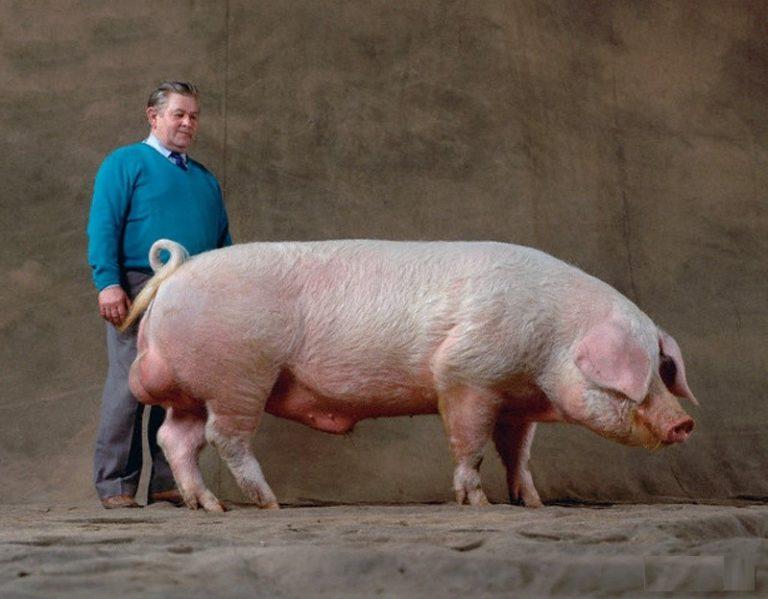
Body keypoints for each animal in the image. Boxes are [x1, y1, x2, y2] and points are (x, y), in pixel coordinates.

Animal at [122, 239, 697, 512]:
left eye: (667, 370)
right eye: (643, 374)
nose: (684, 423)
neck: (553, 337)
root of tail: (177, 271)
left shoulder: (515, 398)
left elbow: (518, 452)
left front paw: (530, 501)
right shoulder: (466, 372)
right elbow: (471, 443)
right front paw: (479, 503)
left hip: (196, 390)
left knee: (175, 438)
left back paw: (208, 506)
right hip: (238, 376)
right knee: (225, 437)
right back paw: (267, 503)